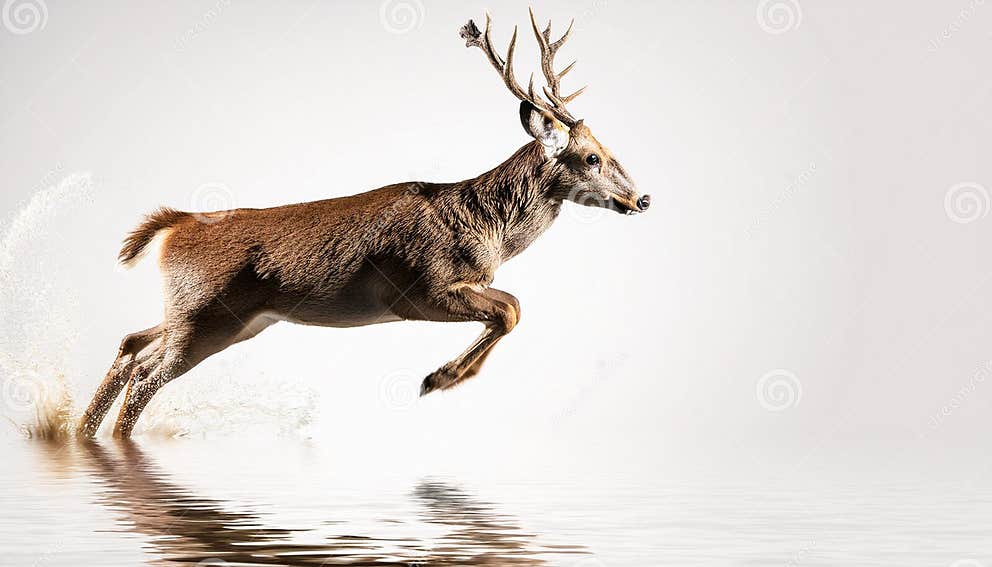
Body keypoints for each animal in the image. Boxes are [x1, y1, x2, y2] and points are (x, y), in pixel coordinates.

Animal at [77, 9, 650, 439]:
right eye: (592, 157)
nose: (641, 198)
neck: (485, 227)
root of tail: (175, 226)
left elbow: (510, 306)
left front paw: (446, 376)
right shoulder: (418, 289)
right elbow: (511, 308)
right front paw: (438, 379)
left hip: (224, 318)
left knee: (131, 343)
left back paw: (78, 433)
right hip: (204, 314)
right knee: (145, 375)